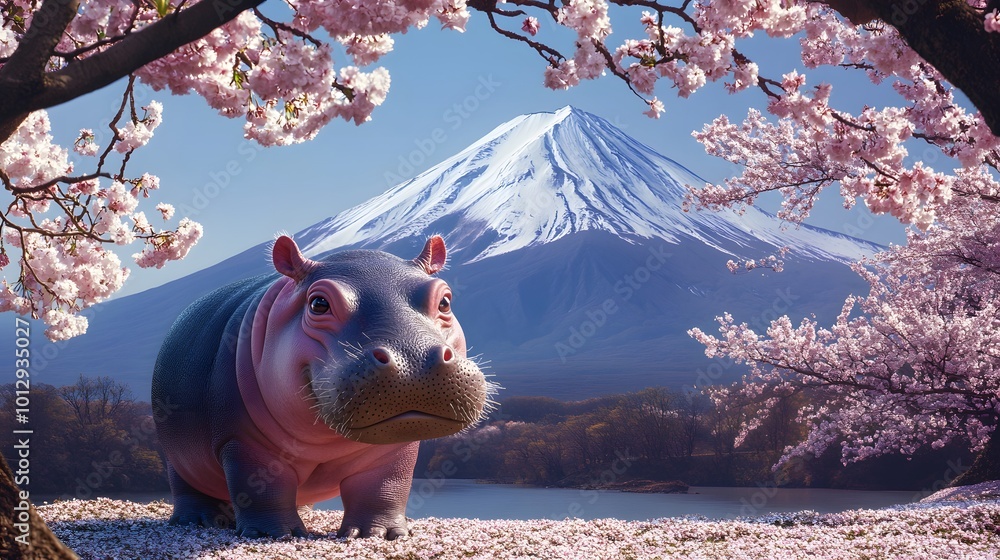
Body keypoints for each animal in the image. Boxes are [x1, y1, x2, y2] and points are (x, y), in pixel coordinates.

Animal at [151, 235, 492, 539]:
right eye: (318, 303)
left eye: (445, 300)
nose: (413, 359)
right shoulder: (242, 440)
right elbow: (259, 487)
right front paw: (274, 534)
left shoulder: (394, 448)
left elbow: (384, 487)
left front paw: (379, 534)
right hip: (176, 456)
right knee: (187, 486)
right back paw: (199, 520)